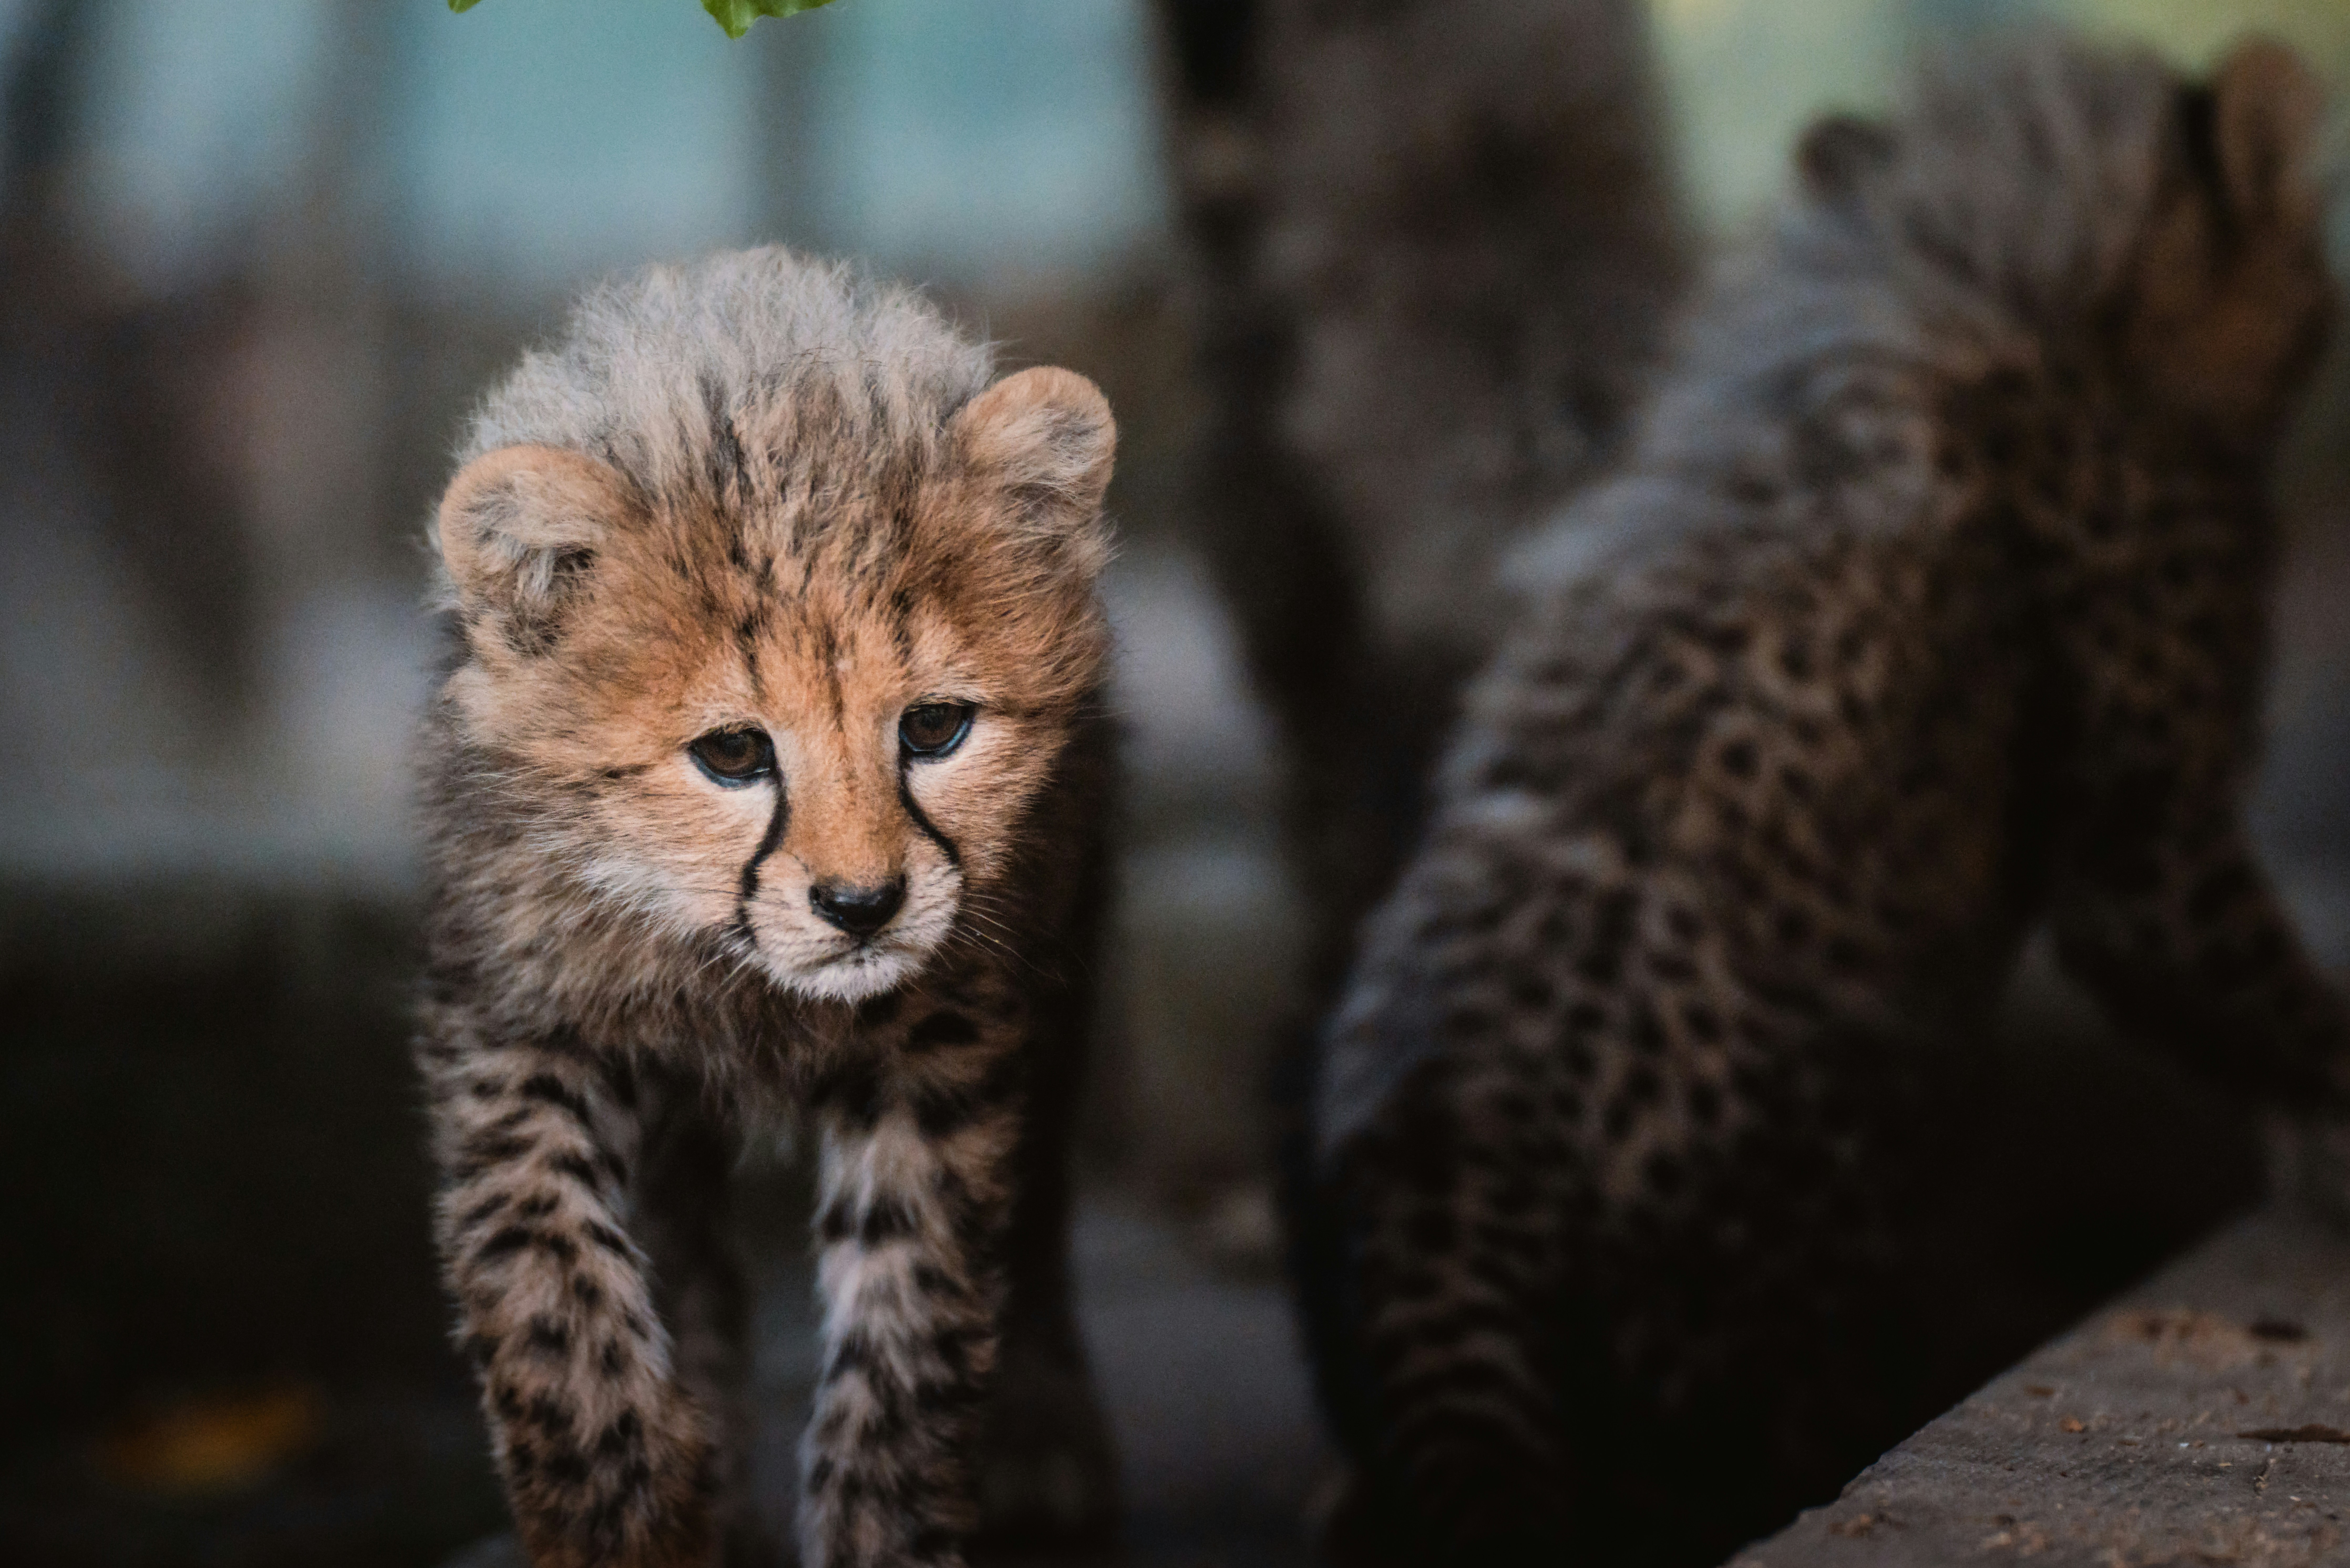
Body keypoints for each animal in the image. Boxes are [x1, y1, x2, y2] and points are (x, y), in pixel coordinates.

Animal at [412, 247, 1120, 1568]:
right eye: (734, 752)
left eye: (934, 727)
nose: (862, 905)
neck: (739, 980)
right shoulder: (514, 1014)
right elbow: (542, 1262)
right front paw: (616, 1510)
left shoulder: (943, 1052)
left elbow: (906, 1334)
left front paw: (883, 1530)